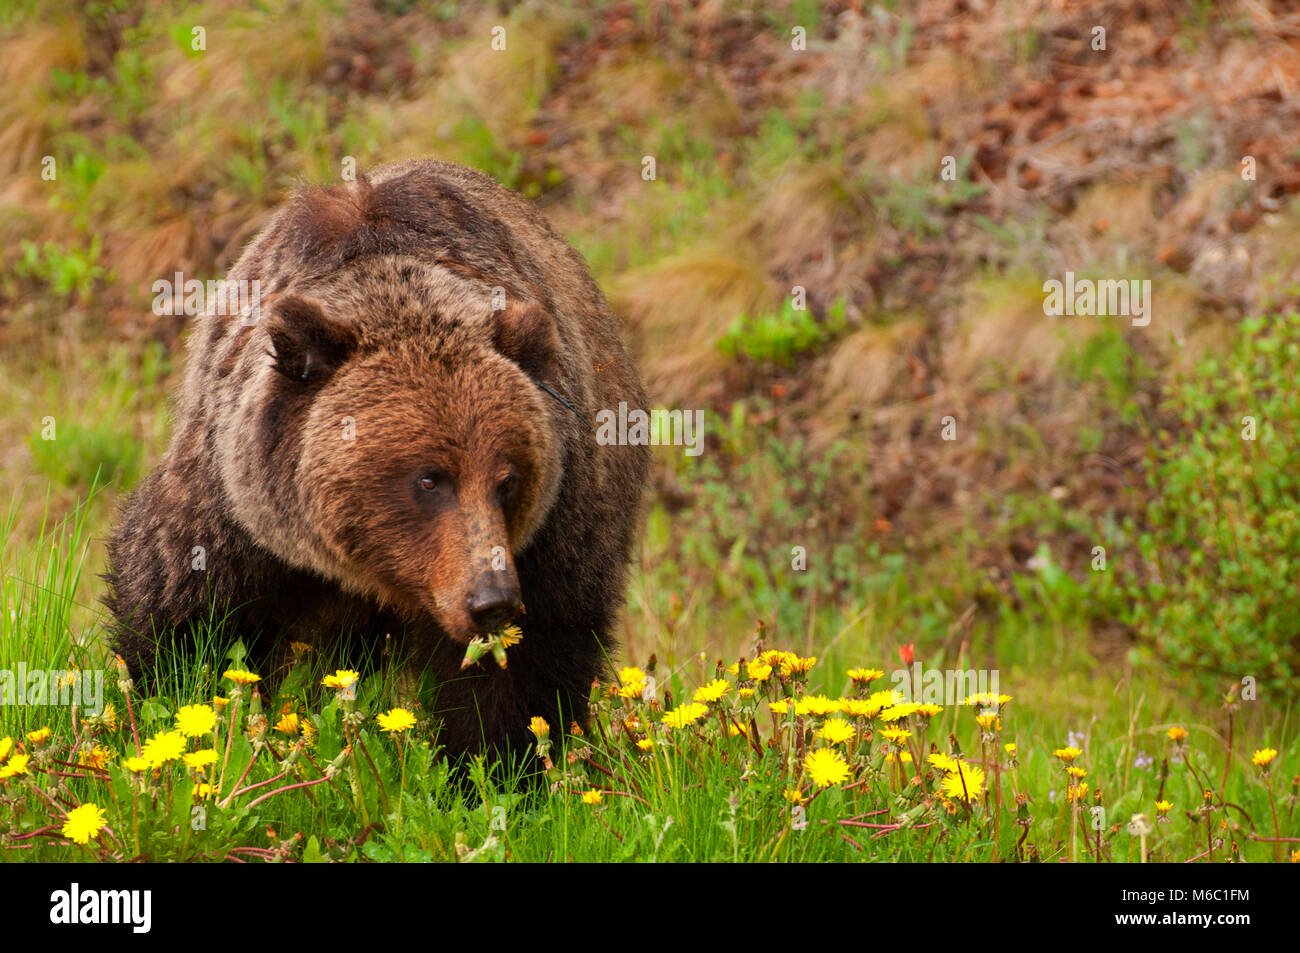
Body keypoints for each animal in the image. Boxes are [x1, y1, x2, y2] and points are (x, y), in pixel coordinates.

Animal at [104, 158, 650, 763]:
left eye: (508, 480)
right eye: (429, 479)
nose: (491, 600)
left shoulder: (552, 529)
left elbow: (523, 673)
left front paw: (495, 762)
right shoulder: (234, 506)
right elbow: (183, 617)